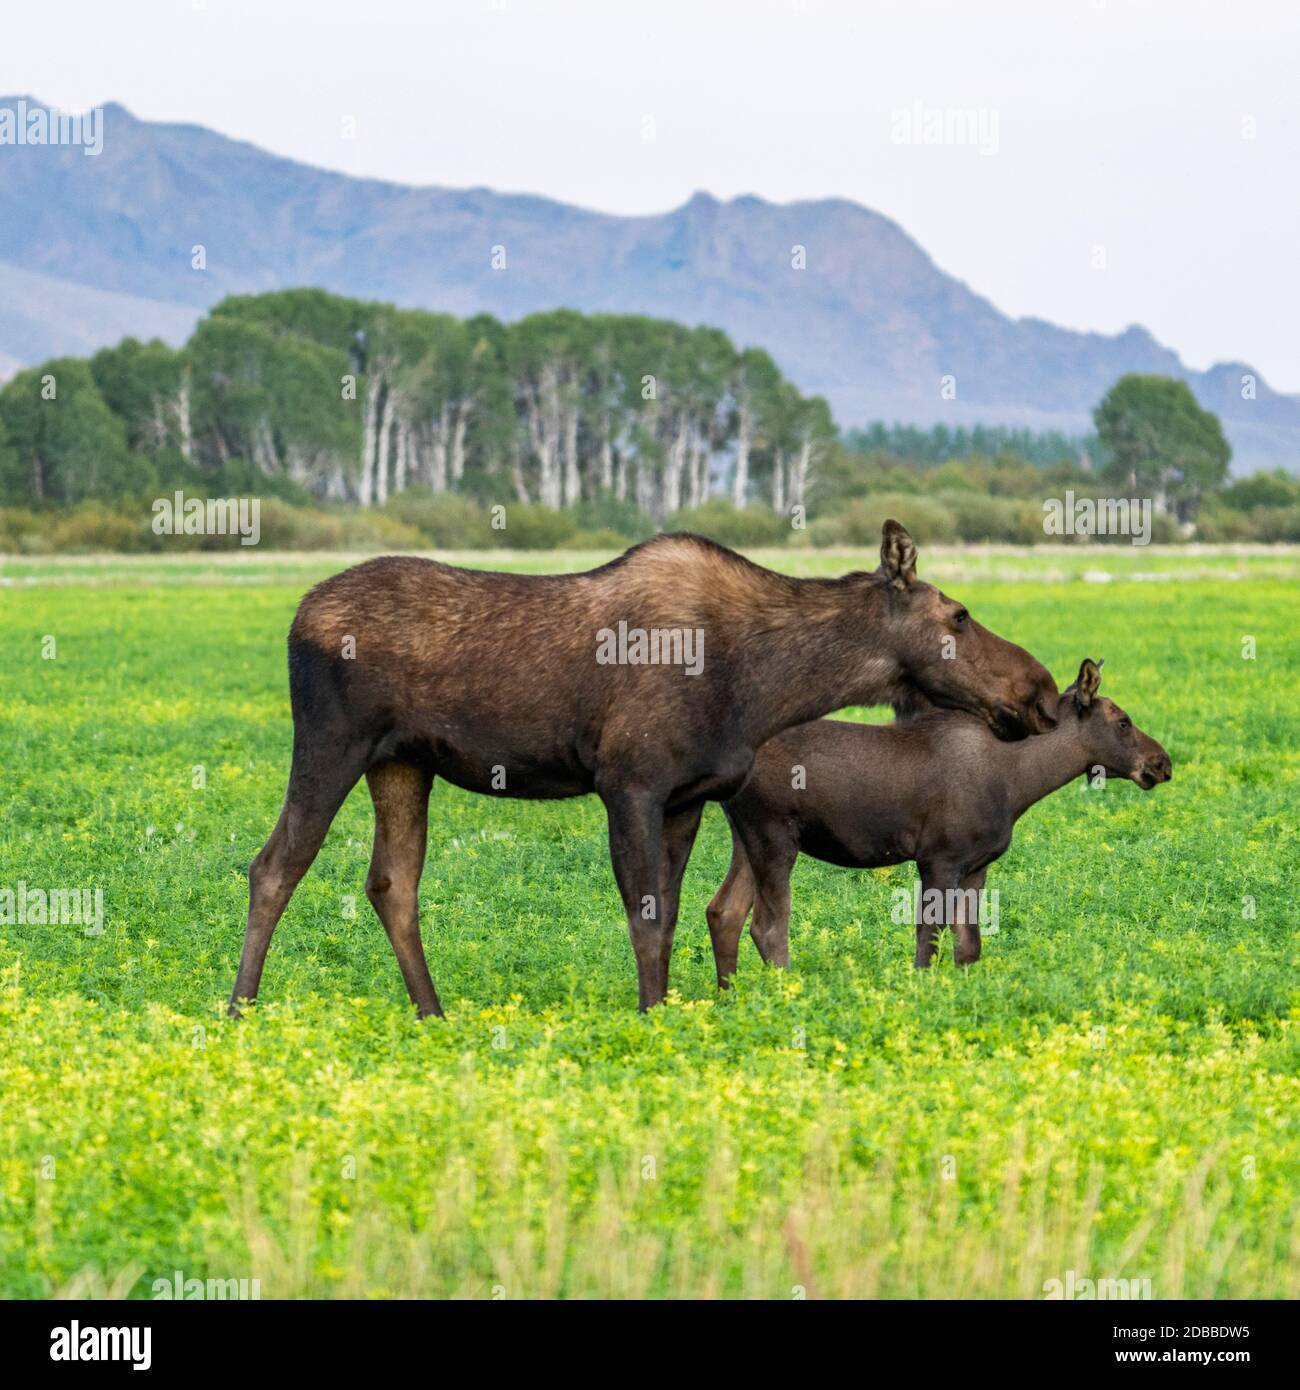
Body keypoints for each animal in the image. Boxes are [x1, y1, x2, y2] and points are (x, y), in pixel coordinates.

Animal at [228, 521, 1060, 1017]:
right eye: (958, 616)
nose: (1043, 690)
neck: (763, 687)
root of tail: (296, 616)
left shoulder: (688, 796)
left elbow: (676, 911)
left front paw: (665, 1010)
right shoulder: (628, 783)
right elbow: (646, 913)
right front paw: (649, 1015)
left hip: (403, 762)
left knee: (391, 882)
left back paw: (433, 1013)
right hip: (333, 739)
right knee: (276, 864)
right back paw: (239, 1008)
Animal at [706, 658, 1171, 982]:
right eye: (1123, 722)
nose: (1162, 763)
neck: (1019, 783)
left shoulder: (976, 866)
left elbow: (968, 946)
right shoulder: (938, 859)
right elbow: (928, 940)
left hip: (747, 840)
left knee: (723, 912)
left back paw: (732, 998)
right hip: (774, 836)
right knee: (767, 926)